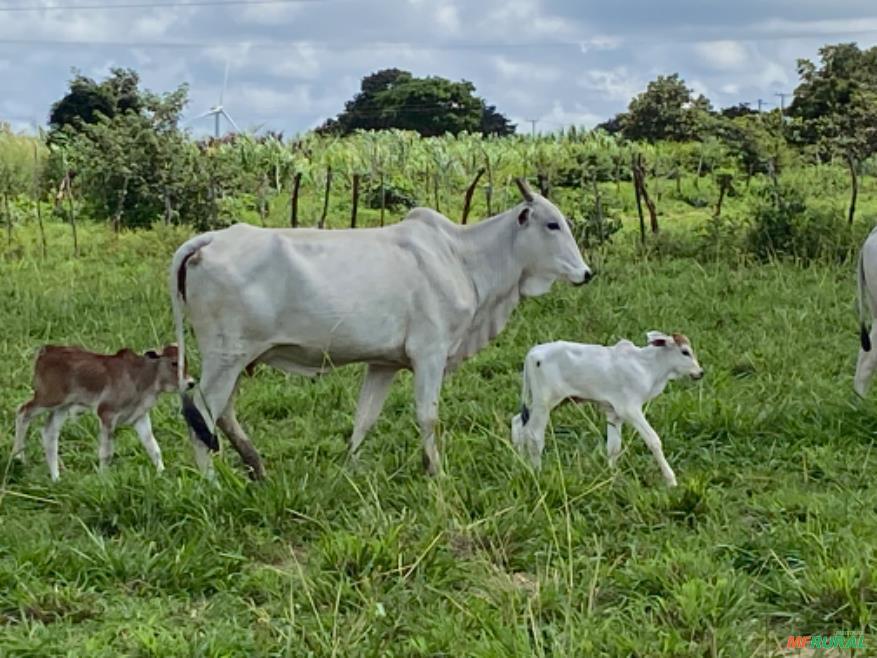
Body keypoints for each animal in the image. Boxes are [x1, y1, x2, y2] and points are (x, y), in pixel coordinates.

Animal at [12, 344, 193, 480]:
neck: (143, 380)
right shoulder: (106, 412)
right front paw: (104, 478)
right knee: (23, 411)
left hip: (62, 407)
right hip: (49, 398)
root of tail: (46, 350)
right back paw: (18, 457)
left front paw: (162, 473)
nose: (191, 383)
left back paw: (56, 478)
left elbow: (153, 448)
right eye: (174, 363)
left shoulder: (140, 416)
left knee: (49, 432)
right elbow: (106, 453)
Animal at [170, 178, 593, 480]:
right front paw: (436, 472)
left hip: (239, 359)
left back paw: (256, 467)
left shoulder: (384, 363)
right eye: (552, 224)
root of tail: (211, 238)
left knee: (222, 415)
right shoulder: (430, 353)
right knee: (200, 415)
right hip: (225, 357)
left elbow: (364, 418)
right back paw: (211, 483)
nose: (586, 273)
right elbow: (428, 416)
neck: (461, 257)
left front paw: (350, 469)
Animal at [510, 332, 704, 486]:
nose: (700, 372)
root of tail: (532, 353)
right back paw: (537, 471)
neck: (648, 367)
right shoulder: (630, 409)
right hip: (543, 404)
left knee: (518, 422)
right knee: (535, 436)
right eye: (685, 352)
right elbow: (653, 441)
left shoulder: (614, 413)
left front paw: (612, 475)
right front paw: (671, 480)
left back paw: (521, 462)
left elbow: (613, 447)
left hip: (541, 403)